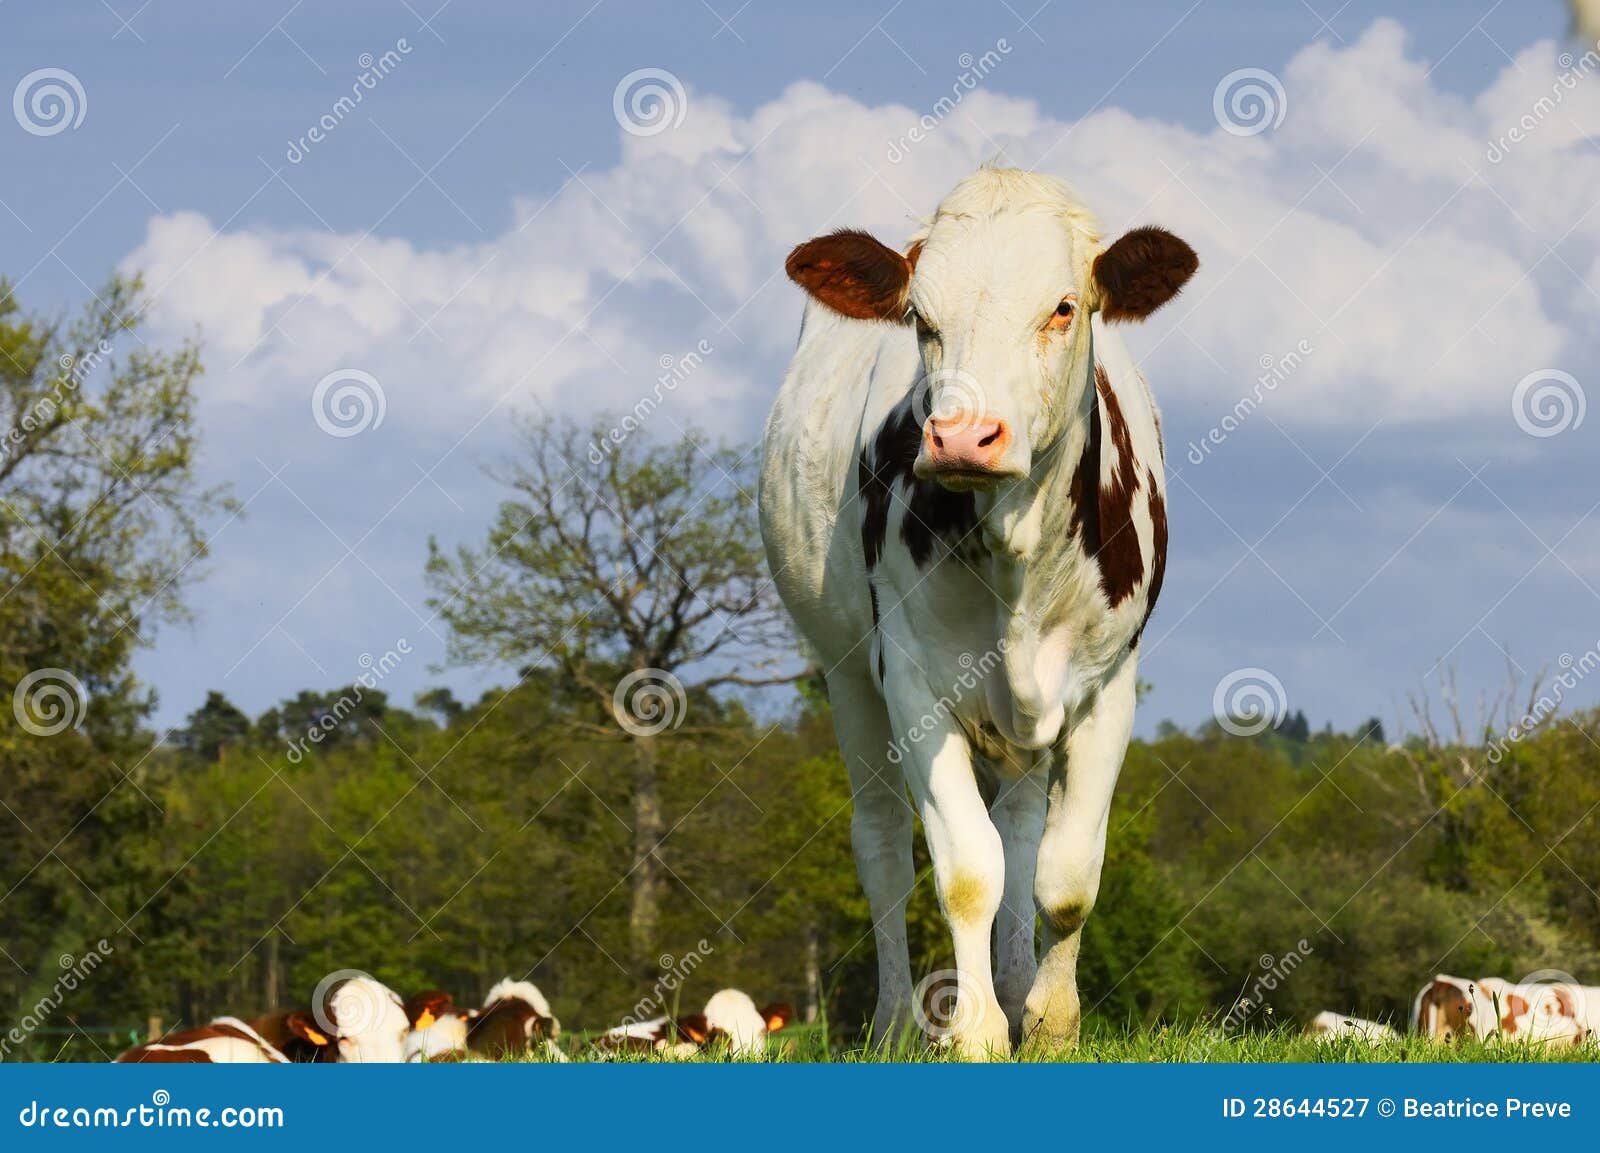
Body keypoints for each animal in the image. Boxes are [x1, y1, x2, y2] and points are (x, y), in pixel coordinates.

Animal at [760, 165, 1195, 1058]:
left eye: (1063, 306)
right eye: (921, 319)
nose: (963, 436)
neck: (1016, 549)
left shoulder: (1111, 685)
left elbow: (1065, 874)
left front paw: (1051, 1022)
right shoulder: (910, 683)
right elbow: (966, 869)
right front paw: (976, 1031)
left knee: (1024, 831)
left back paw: (1020, 983)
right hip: (846, 673)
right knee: (883, 847)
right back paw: (896, 1021)